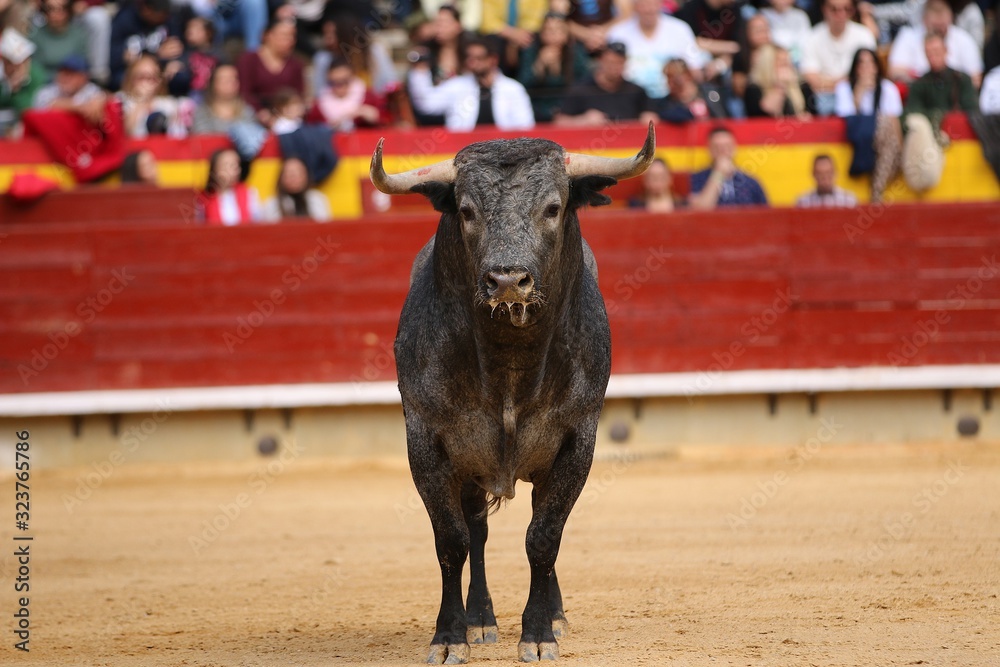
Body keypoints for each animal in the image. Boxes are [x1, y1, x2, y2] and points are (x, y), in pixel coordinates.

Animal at [370, 123, 655, 664]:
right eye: (465, 210)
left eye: (554, 207)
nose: (507, 280)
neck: (509, 363)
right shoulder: (428, 443)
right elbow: (452, 541)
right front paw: (450, 637)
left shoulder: (577, 442)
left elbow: (544, 537)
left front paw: (539, 633)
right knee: (477, 531)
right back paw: (481, 619)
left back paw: (555, 615)